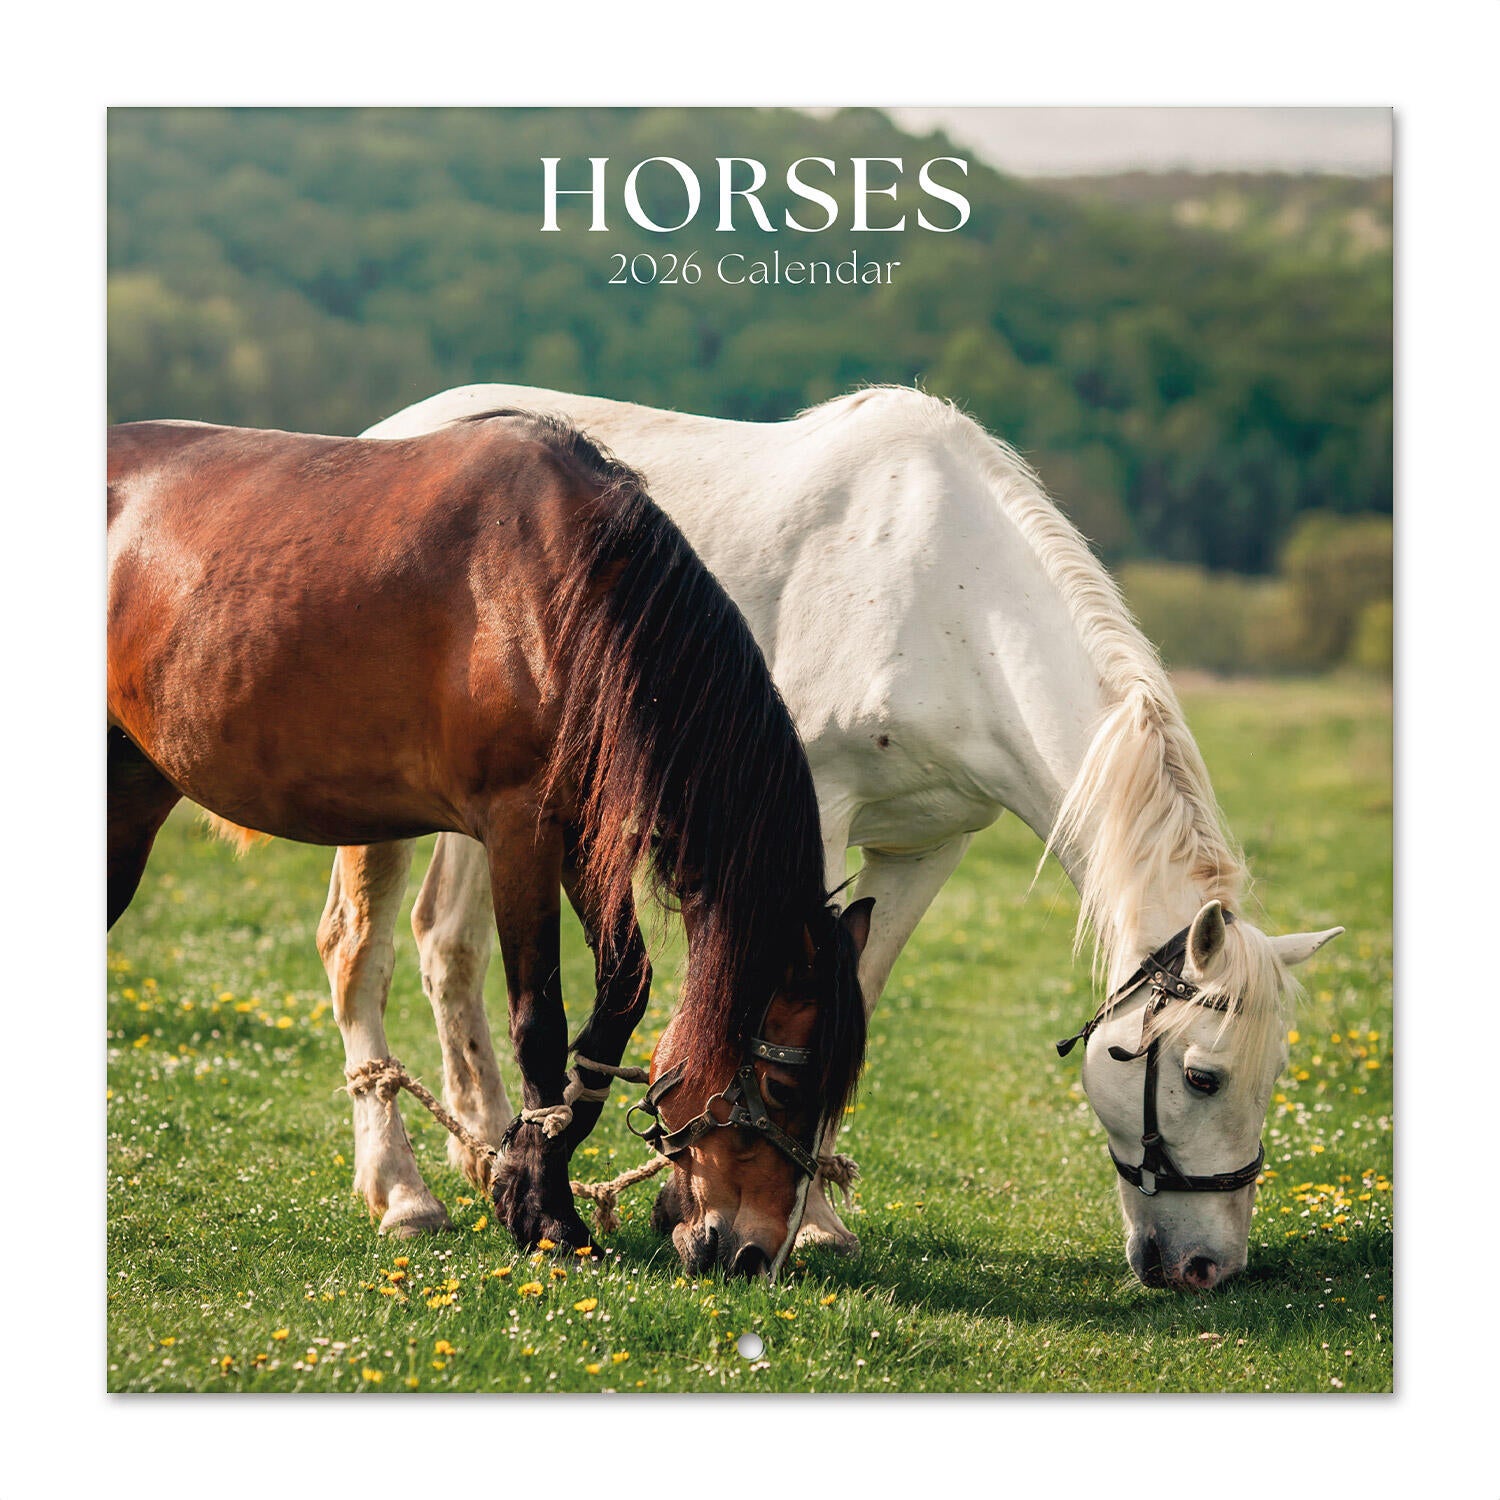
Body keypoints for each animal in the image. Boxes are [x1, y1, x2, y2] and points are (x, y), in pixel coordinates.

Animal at [107, 411, 871, 1276]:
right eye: (783, 1091)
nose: (751, 1256)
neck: (567, 595)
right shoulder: (519, 832)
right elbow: (540, 1024)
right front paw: (546, 1210)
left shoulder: (580, 837)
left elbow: (620, 998)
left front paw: (523, 1172)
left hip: (131, 796)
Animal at [323, 383, 1344, 1292]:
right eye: (1203, 1077)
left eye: (1274, 1075)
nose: (1208, 1268)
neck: (951, 602)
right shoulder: (807, 817)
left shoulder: (927, 847)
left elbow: (856, 995)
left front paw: (807, 1214)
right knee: (360, 950)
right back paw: (403, 1193)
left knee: (446, 945)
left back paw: (492, 1151)